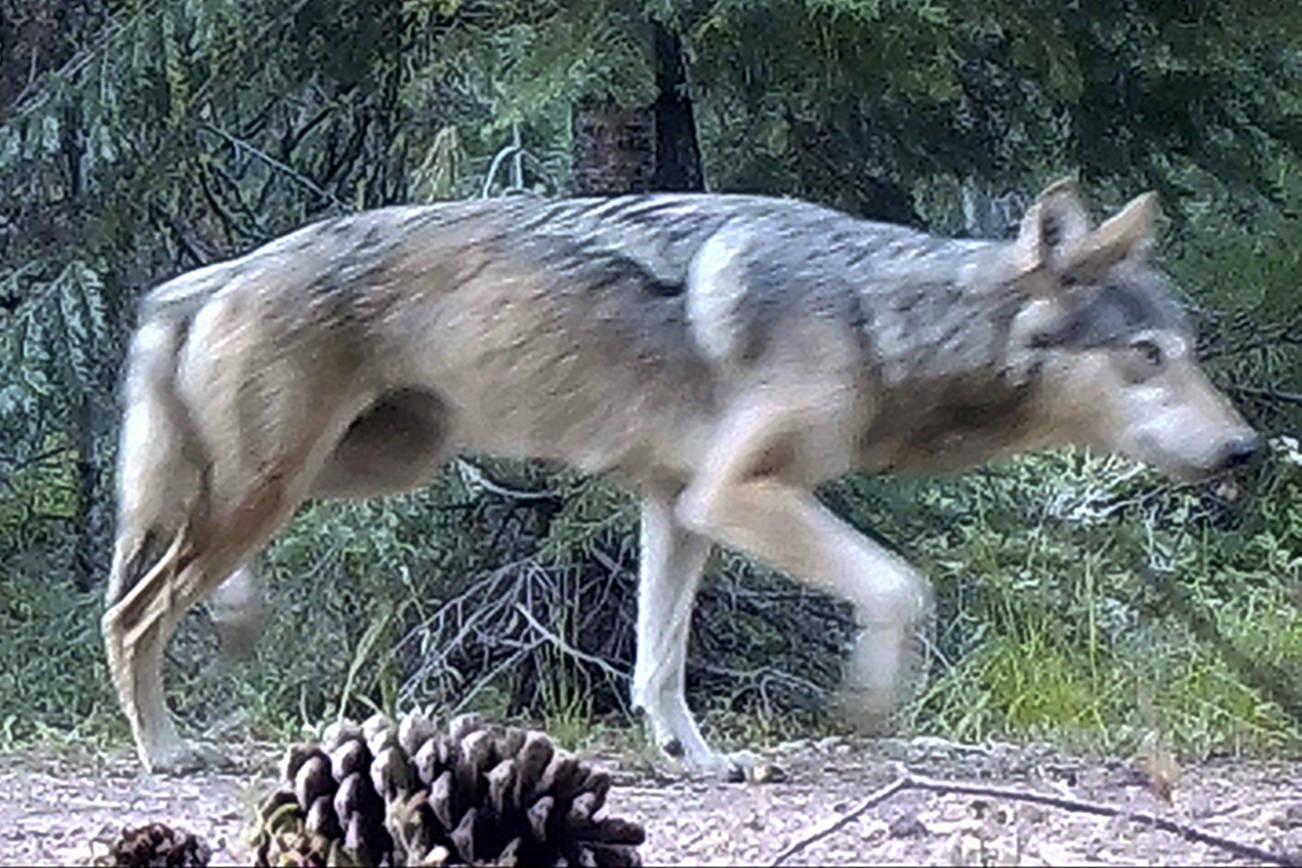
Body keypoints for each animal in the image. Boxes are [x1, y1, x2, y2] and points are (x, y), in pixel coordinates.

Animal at [103, 179, 1258, 774]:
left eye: (1191, 351)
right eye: (1147, 356)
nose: (1249, 451)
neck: (880, 321)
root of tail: (209, 276)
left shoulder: (679, 504)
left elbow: (657, 663)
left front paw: (692, 759)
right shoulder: (736, 494)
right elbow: (902, 587)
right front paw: (869, 705)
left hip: (362, 468)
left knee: (177, 578)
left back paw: (235, 622)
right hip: (278, 485)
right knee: (133, 612)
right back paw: (165, 749)